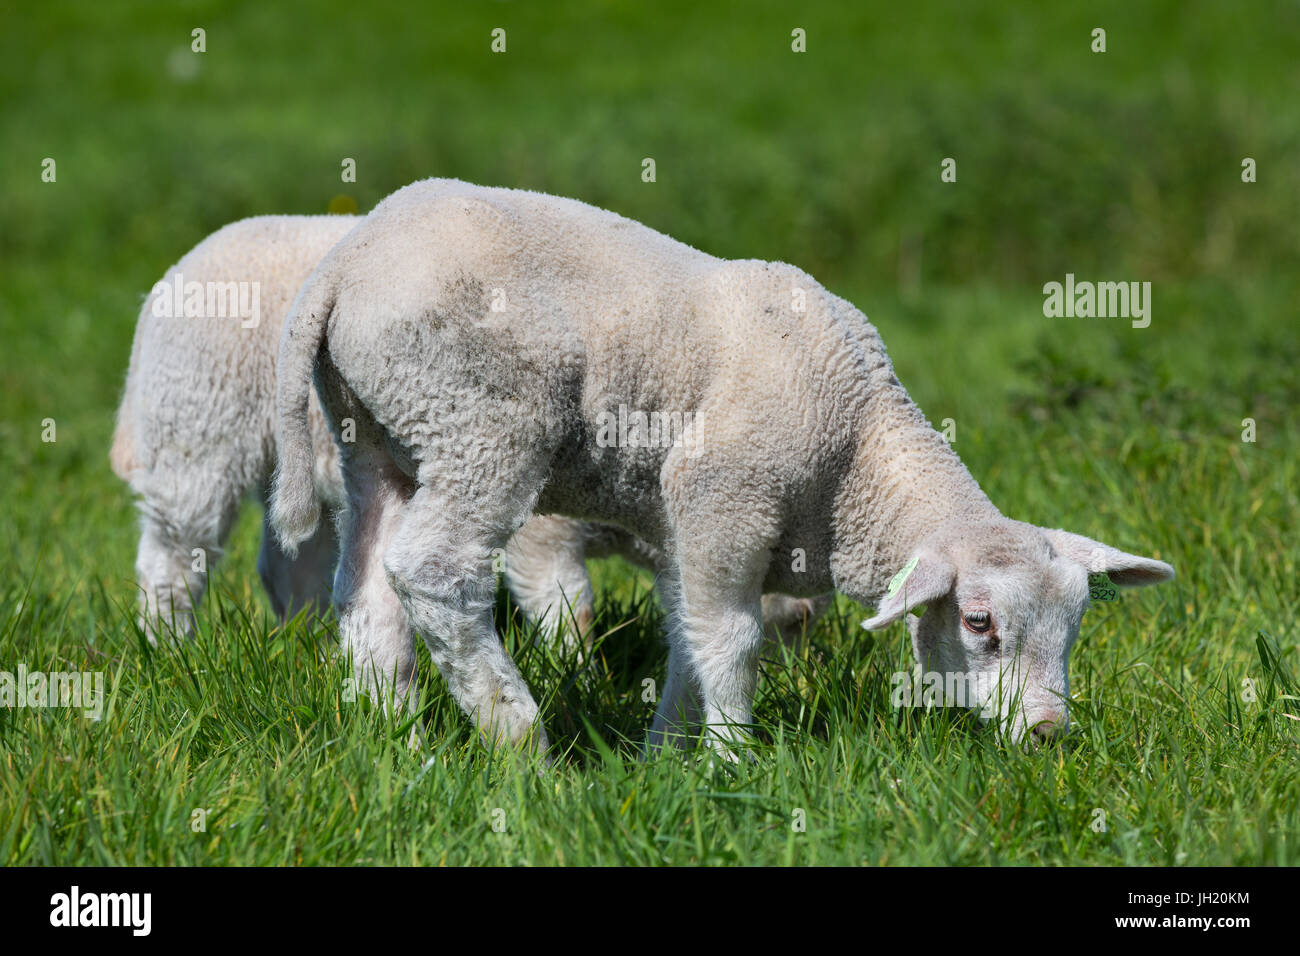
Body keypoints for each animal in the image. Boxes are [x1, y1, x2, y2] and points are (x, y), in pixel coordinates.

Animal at [111, 215, 825, 647]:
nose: (801, 645)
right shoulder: (543, 532)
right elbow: (570, 611)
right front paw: (573, 661)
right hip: (193, 433)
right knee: (172, 554)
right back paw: (167, 645)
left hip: (293, 466)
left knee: (290, 560)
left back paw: (307, 638)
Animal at [271, 178, 1175, 754]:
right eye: (979, 622)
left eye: (1077, 627)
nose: (1049, 734)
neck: (858, 460)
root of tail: (344, 263)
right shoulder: (722, 500)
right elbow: (733, 642)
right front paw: (732, 759)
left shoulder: (688, 532)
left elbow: (688, 639)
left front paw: (665, 758)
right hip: (481, 422)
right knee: (435, 569)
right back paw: (517, 738)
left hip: (375, 436)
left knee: (366, 588)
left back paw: (393, 739)